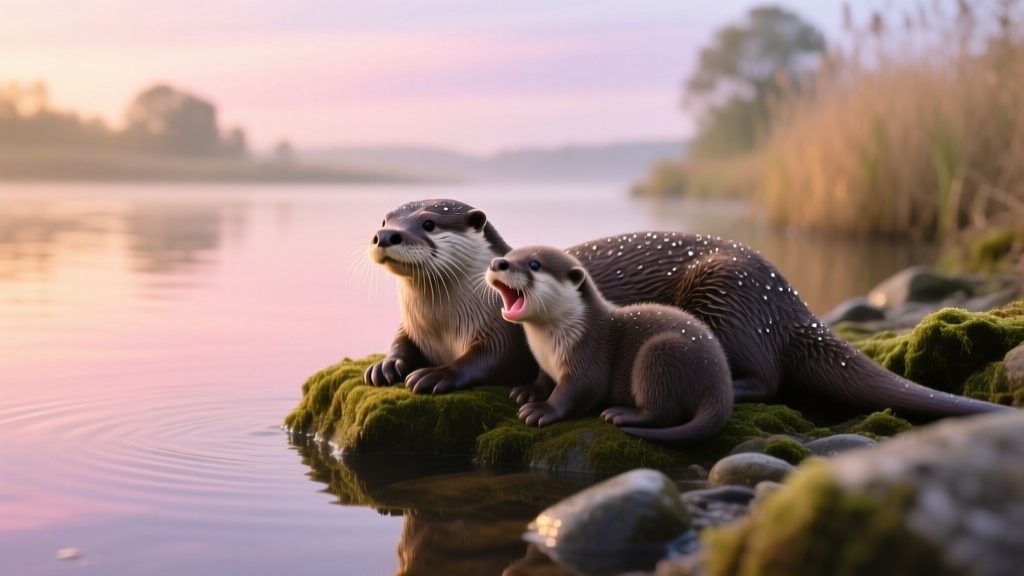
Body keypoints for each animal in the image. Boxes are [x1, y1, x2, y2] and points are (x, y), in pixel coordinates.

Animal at [364, 198, 1010, 418]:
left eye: (428, 223)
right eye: (387, 215)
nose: (385, 235)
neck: (445, 319)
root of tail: (791, 299)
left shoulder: (498, 336)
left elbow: (487, 362)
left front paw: (435, 375)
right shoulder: (414, 325)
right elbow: (399, 341)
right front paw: (387, 364)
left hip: (725, 292)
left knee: (769, 376)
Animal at [485, 246, 733, 443]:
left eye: (534, 264)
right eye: (506, 255)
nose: (498, 262)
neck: (548, 347)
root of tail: (720, 384)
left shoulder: (589, 352)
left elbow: (580, 388)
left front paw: (542, 409)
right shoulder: (545, 364)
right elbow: (544, 379)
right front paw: (528, 391)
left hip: (661, 355)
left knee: (665, 412)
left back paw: (620, 414)